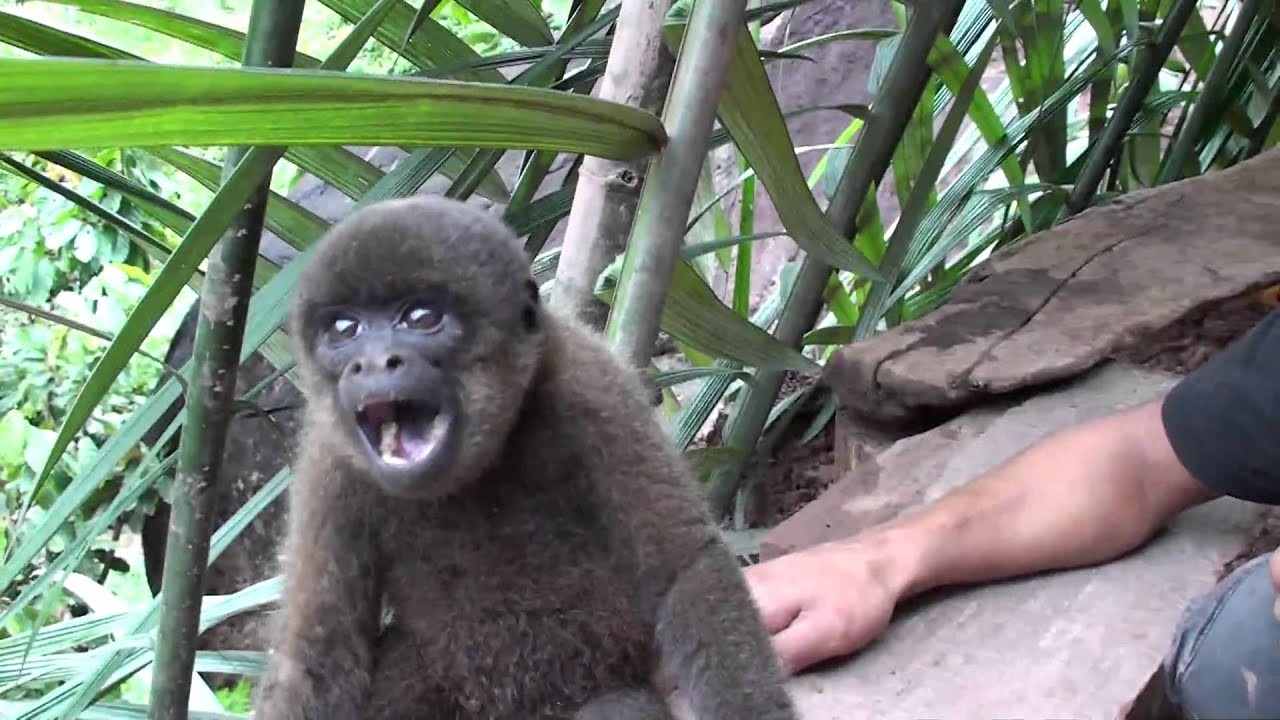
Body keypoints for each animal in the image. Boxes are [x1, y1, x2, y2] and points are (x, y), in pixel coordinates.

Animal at [251, 195, 798, 720]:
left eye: (421, 319)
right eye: (345, 329)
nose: (371, 363)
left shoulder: (595, 387)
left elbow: (683, 567)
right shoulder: (329, 461)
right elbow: (317, 656)